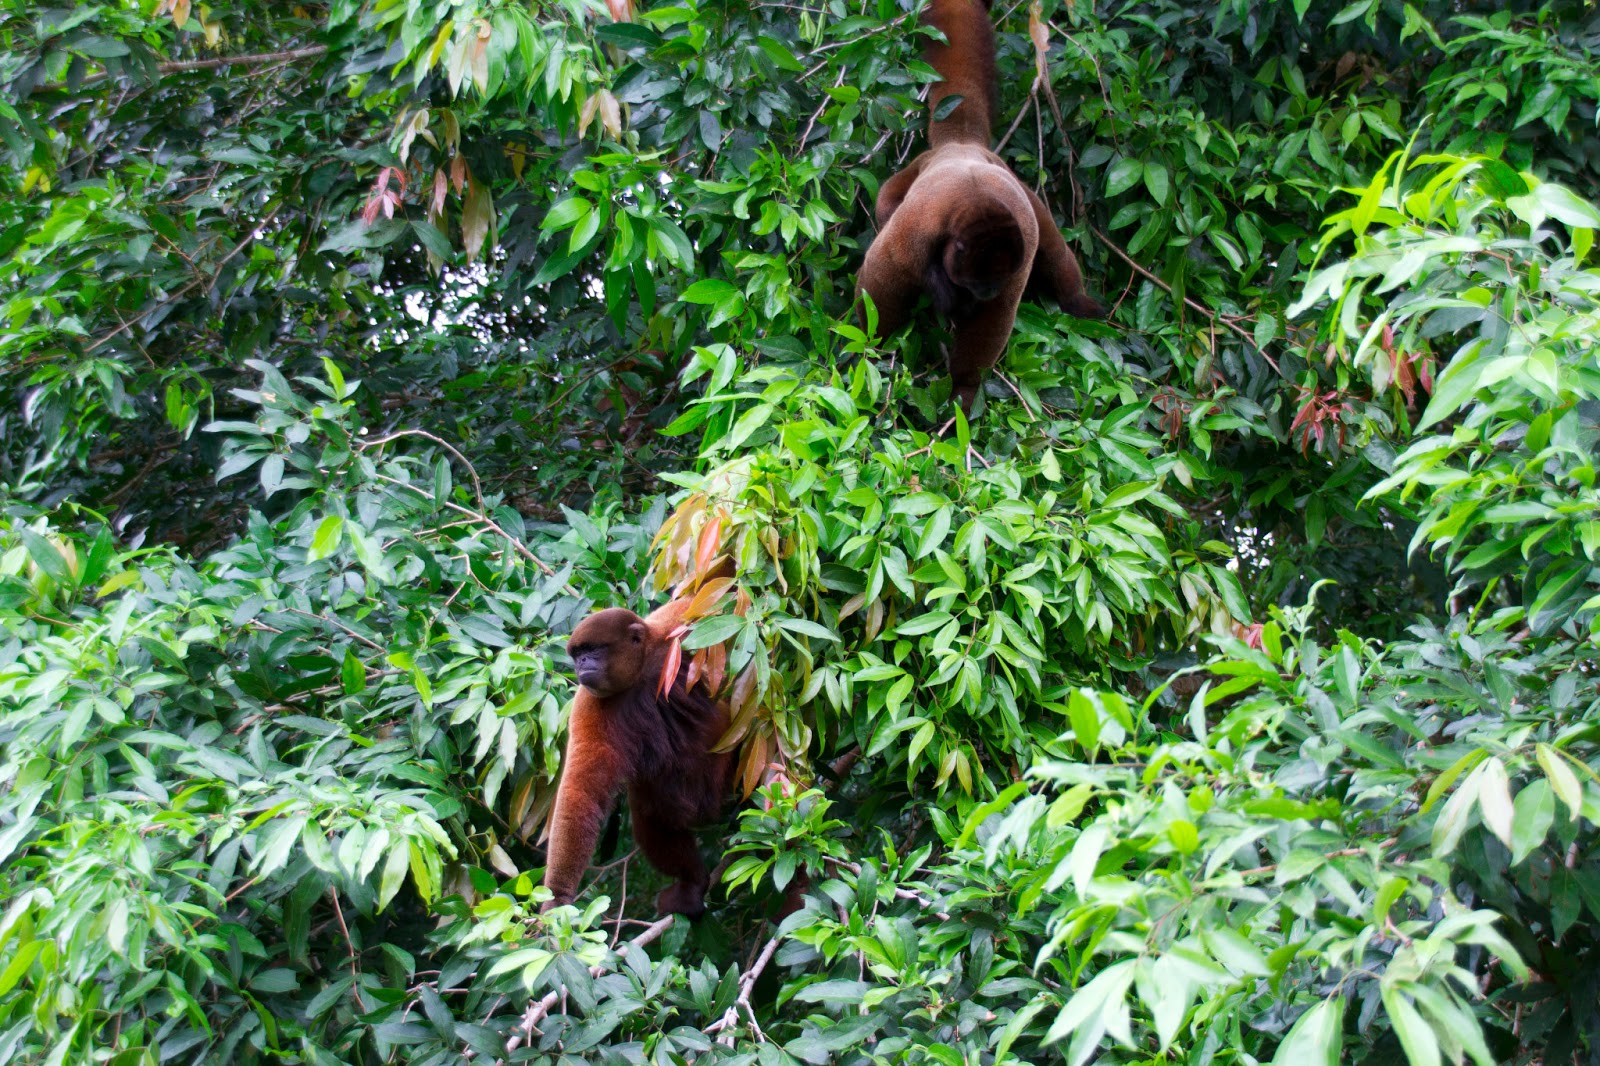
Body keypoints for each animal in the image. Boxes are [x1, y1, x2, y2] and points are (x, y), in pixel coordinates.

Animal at [541, 596, 734, 917]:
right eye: (577, 654)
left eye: (593, 650)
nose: (581, 663)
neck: (639, 672)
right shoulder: (588, 703)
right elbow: (579, 794)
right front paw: (558, 896)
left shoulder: (673, 629)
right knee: (651, 814)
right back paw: (693, 883)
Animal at [856, 0, 1104, 411]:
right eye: (978, 280)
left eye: (996, 281)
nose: (987, 292)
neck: (970, 206)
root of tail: (961, 143)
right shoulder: (913, 233)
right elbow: (881, 283)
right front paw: (868, 349)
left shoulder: (1019, 249)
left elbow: (992, 322)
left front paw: (965, 388)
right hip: (919, 168)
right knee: (884, 205)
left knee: (1054, 251)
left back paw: (1077, 300)